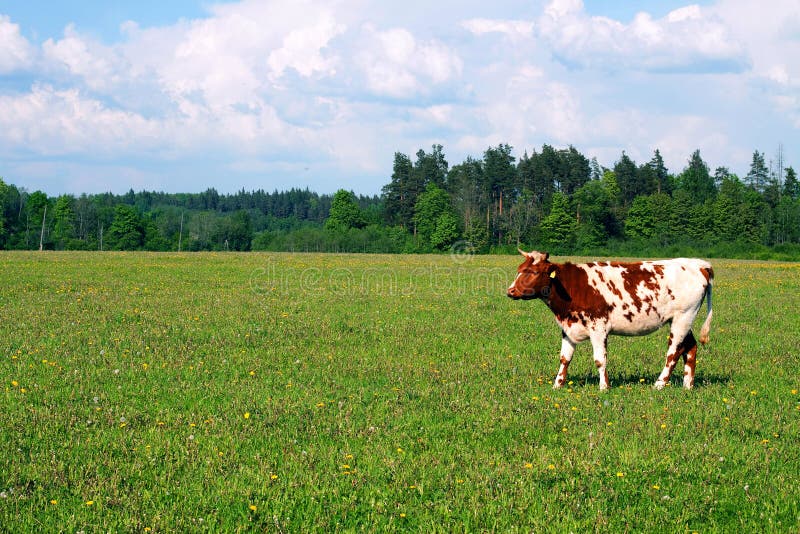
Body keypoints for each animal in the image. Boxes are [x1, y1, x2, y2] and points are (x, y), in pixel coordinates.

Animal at [507, 250, 713, 390]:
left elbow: (600, 359)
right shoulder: (568, 328)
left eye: (533, 272)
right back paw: (688, 385)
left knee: (674, 352)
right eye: (519, 270)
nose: (510, 291)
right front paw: (557, 385)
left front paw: (604, 387)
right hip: (681, 319)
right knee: (690, 348)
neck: (572, 285)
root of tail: (698, 264)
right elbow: (565, 358)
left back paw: (659, 384)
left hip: (683, 317)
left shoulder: (598, 327)